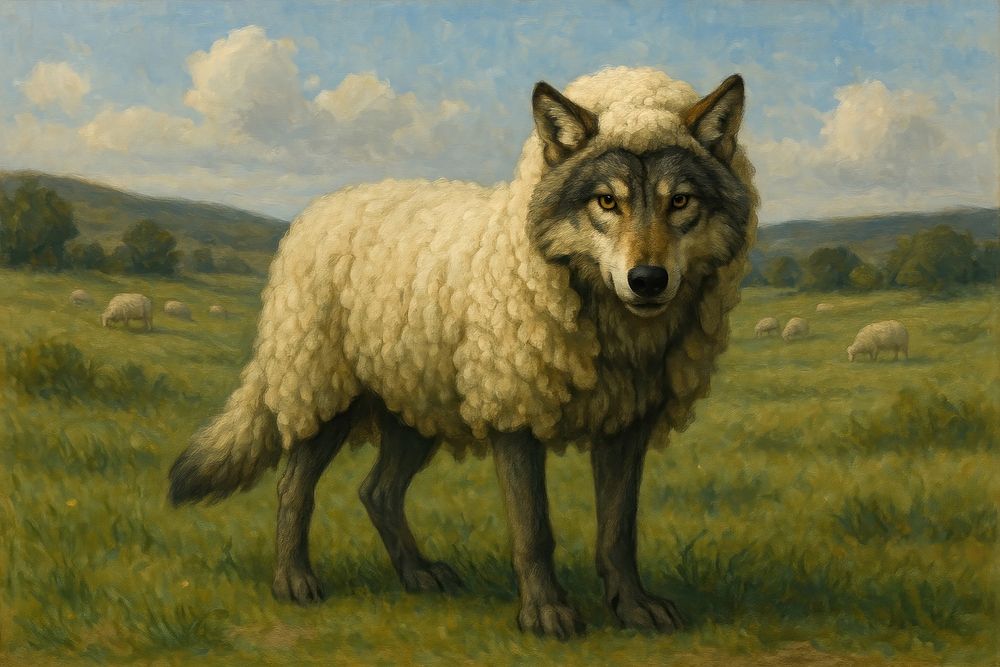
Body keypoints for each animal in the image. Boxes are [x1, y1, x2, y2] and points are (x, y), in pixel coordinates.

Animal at [169, 67, 758, 639]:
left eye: (679, 201)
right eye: (607, 201)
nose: (648, 280)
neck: (613, 331)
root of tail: (315, 211)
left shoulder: (624, 429)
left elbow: (617, 533)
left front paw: (632, 608)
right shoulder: (514, 416)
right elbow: (534, 530)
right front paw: (545, 614)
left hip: (414, 410)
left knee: (376, 492)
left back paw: (417, 574)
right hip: (323, 399)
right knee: (293, 489)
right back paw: (293, 582)